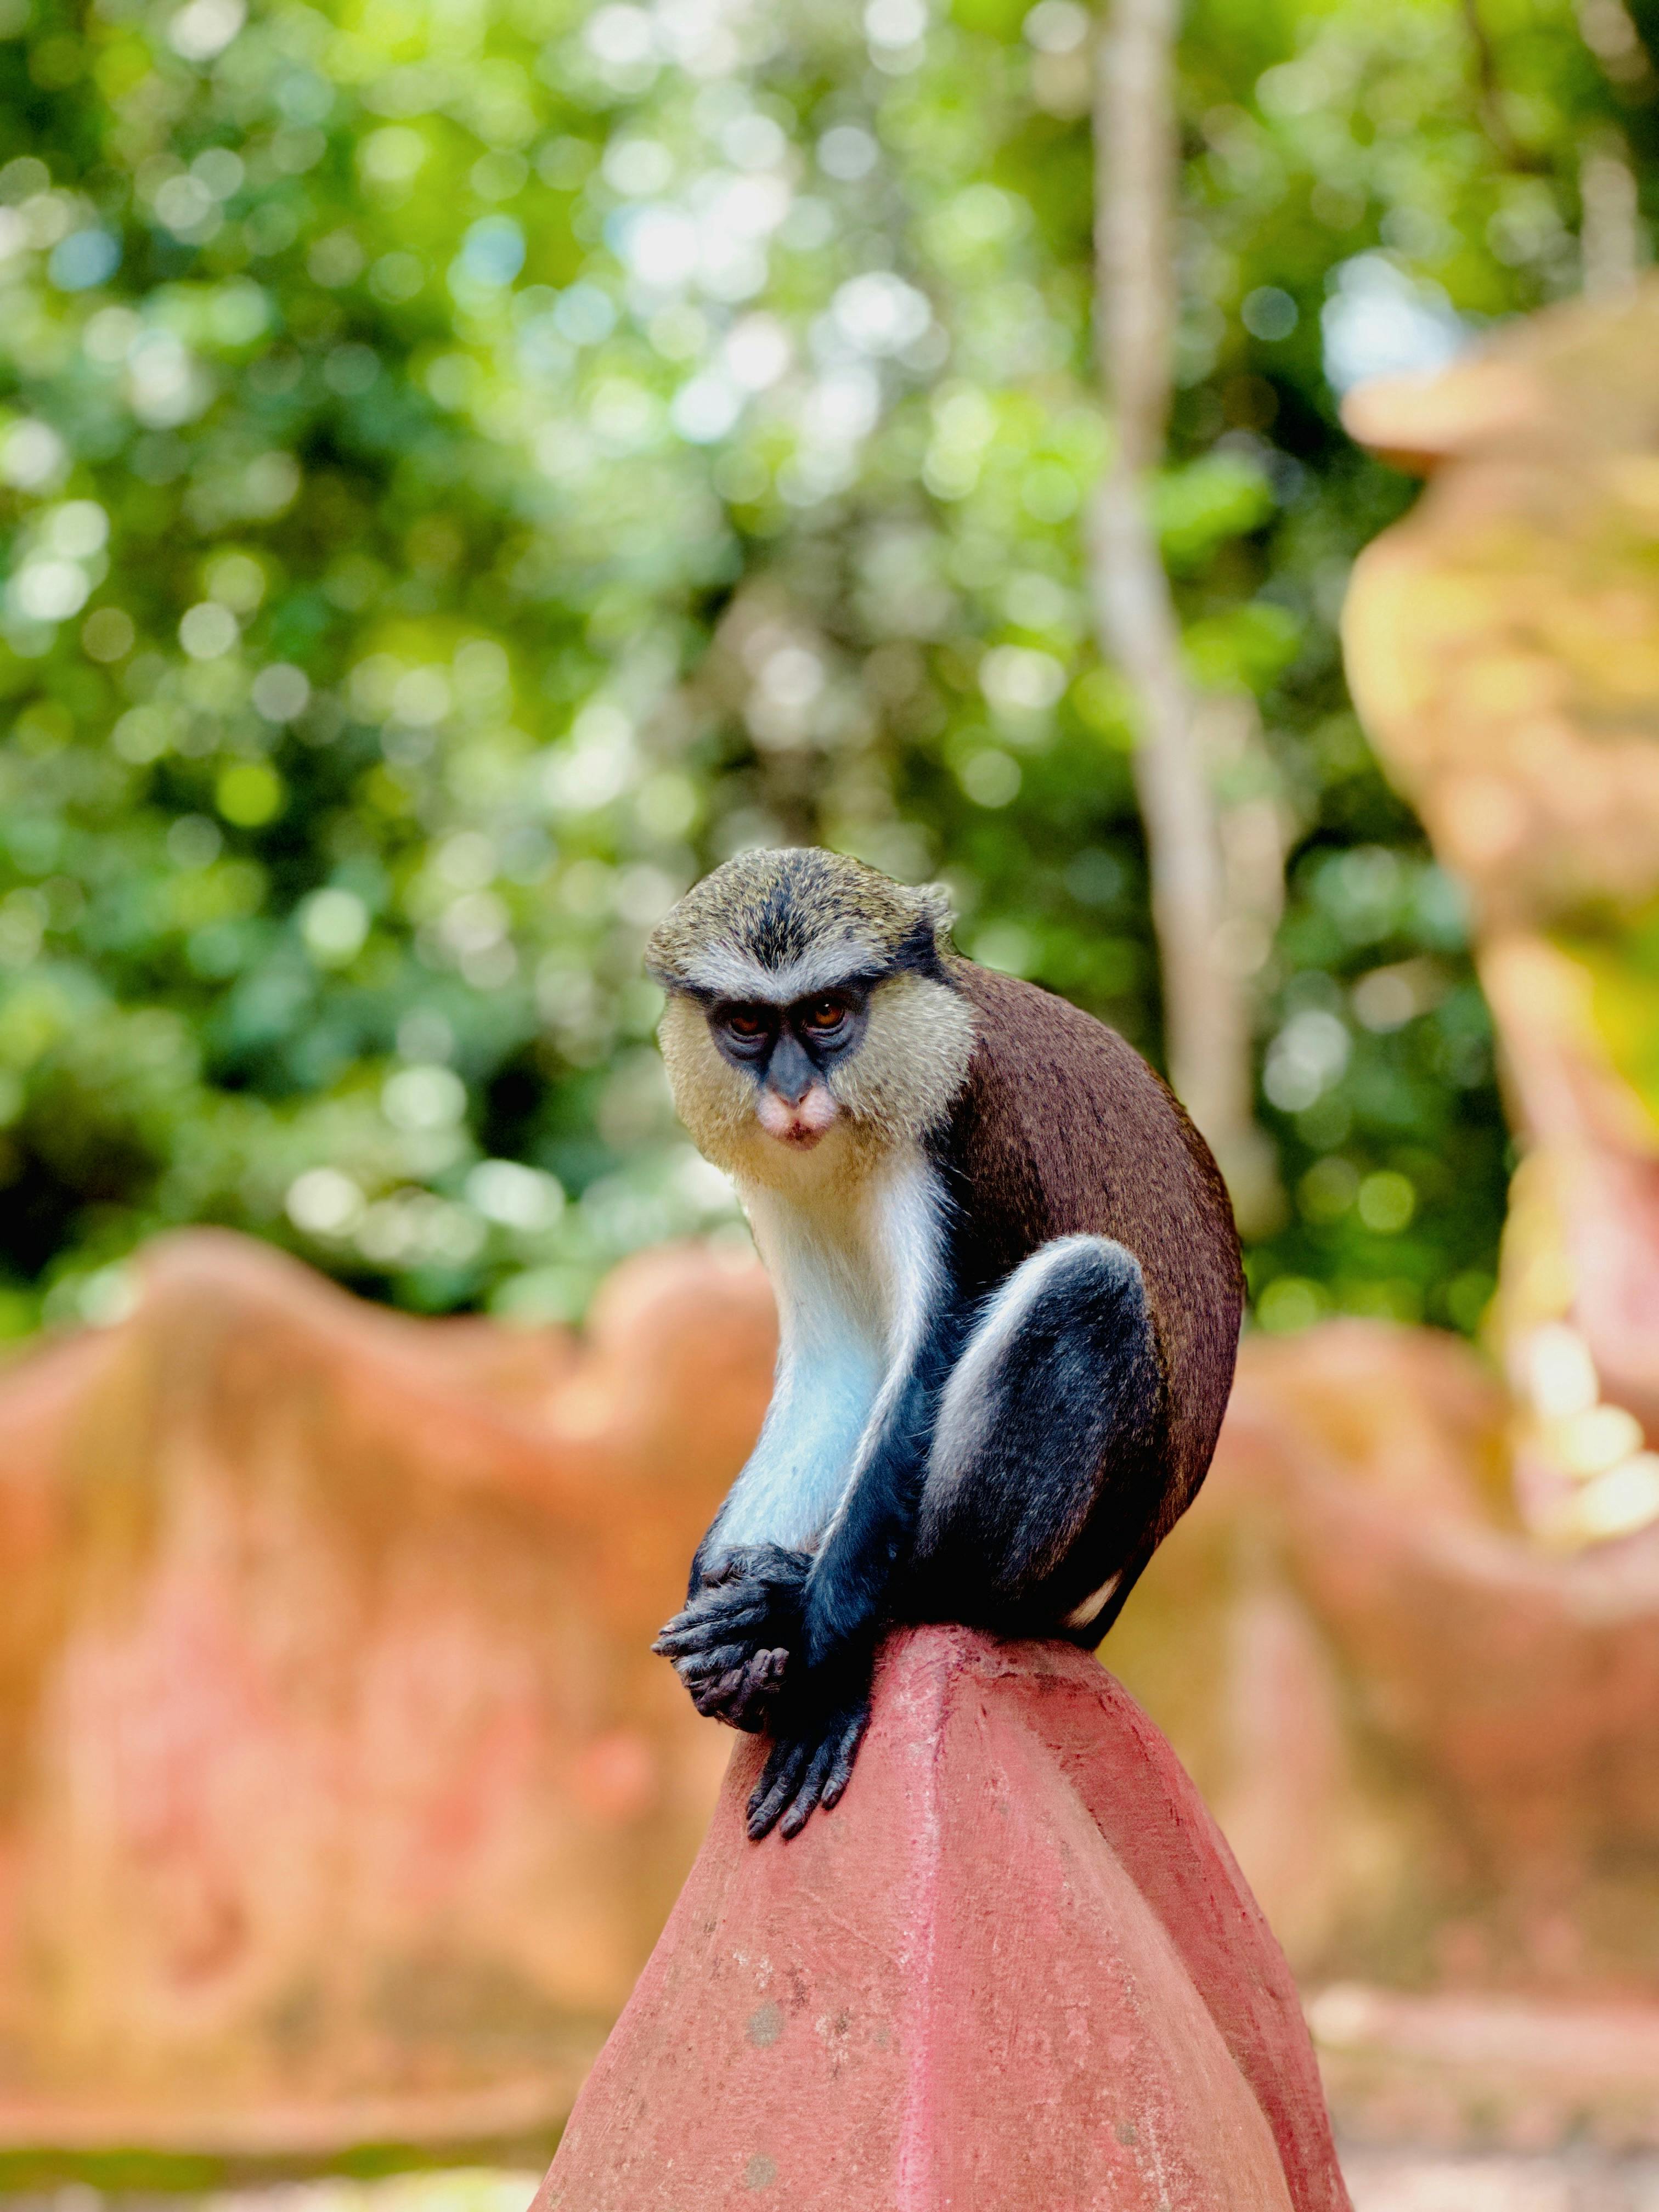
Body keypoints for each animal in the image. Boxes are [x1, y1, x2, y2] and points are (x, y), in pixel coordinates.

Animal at [645, 847, 1242, 1842]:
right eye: (746, 1024)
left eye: (825, 1013)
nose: (791, 1094)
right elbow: (840, 1369)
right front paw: (725, 1614)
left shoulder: (965, 1130)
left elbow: (925, 1361)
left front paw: (820, 1662)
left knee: (1088, 1287)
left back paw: (827, 1597)